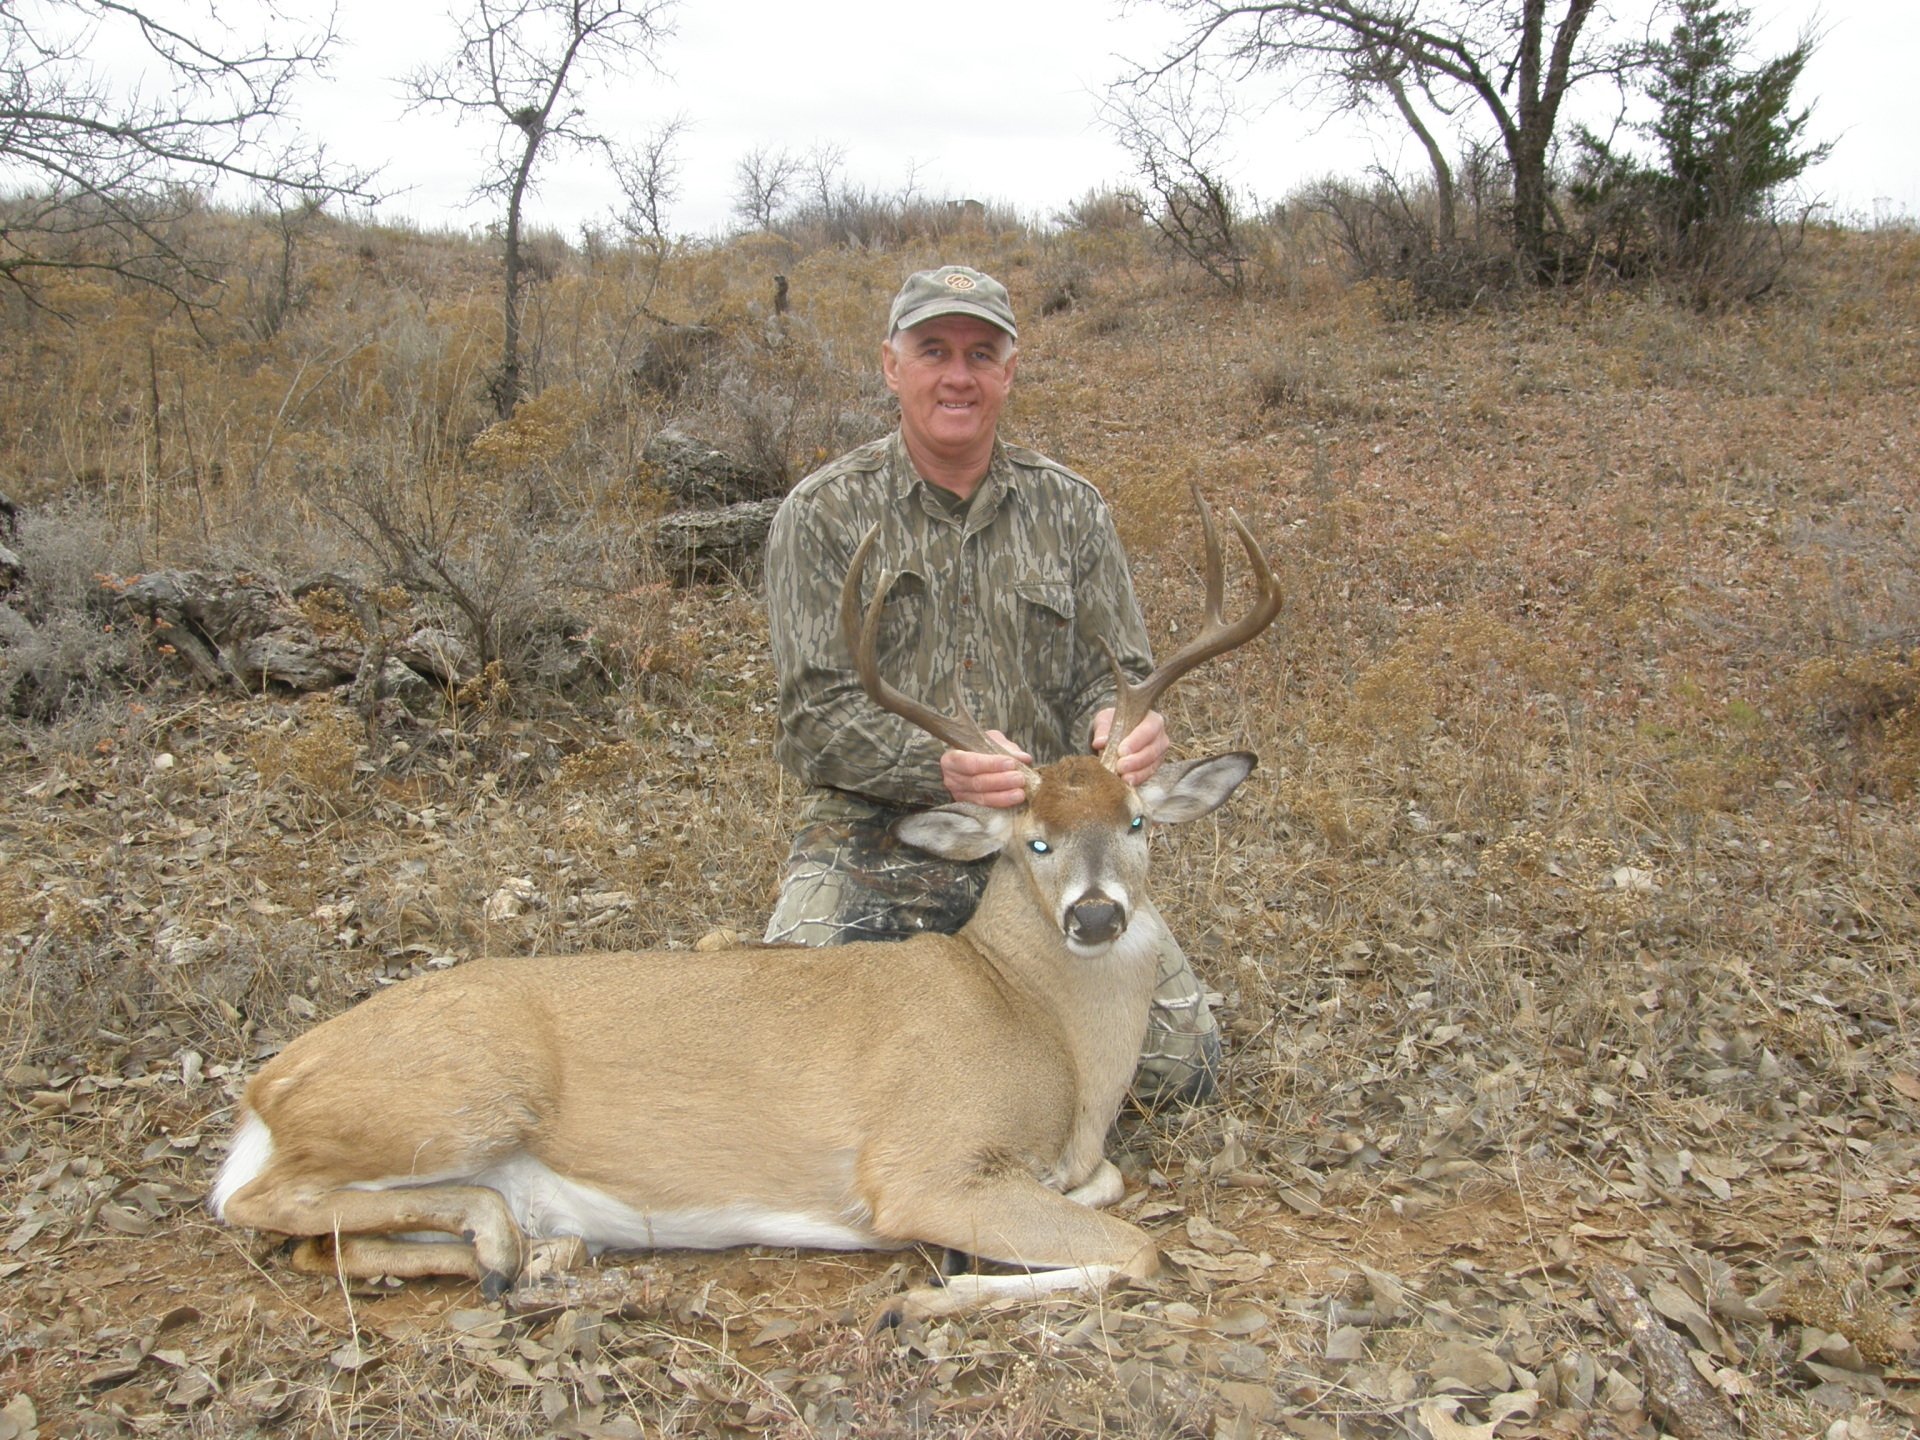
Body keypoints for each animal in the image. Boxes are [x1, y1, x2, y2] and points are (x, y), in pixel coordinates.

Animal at [211, 493, 1282, 1325]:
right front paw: (922, 1295)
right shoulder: (920, 1164)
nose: (1096, 919)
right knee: (258, 1202)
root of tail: (268, 1083)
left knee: (324, 1242)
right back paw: (503, 1239)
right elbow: (1139, 1249)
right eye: (1034, 843)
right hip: (459, 1093)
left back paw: (529, 1253)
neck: (1038, 1025)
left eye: (1137, 822)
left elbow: (1114, 1195)